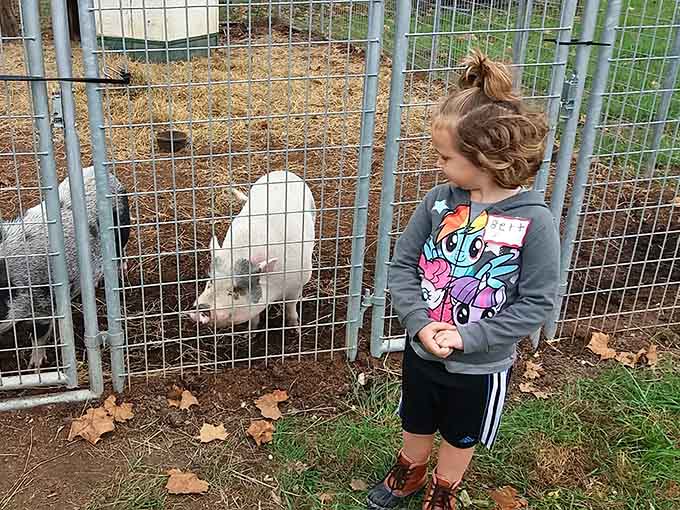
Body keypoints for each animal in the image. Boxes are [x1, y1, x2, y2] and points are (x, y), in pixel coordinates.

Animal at [190, 170, 316, 331]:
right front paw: (250, 332)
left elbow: (291, 305)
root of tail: (282, 172)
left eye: (236, 289)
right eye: (211, 281)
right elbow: (254, 317)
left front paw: (295, 328)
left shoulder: (299, 281)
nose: (201, 308)